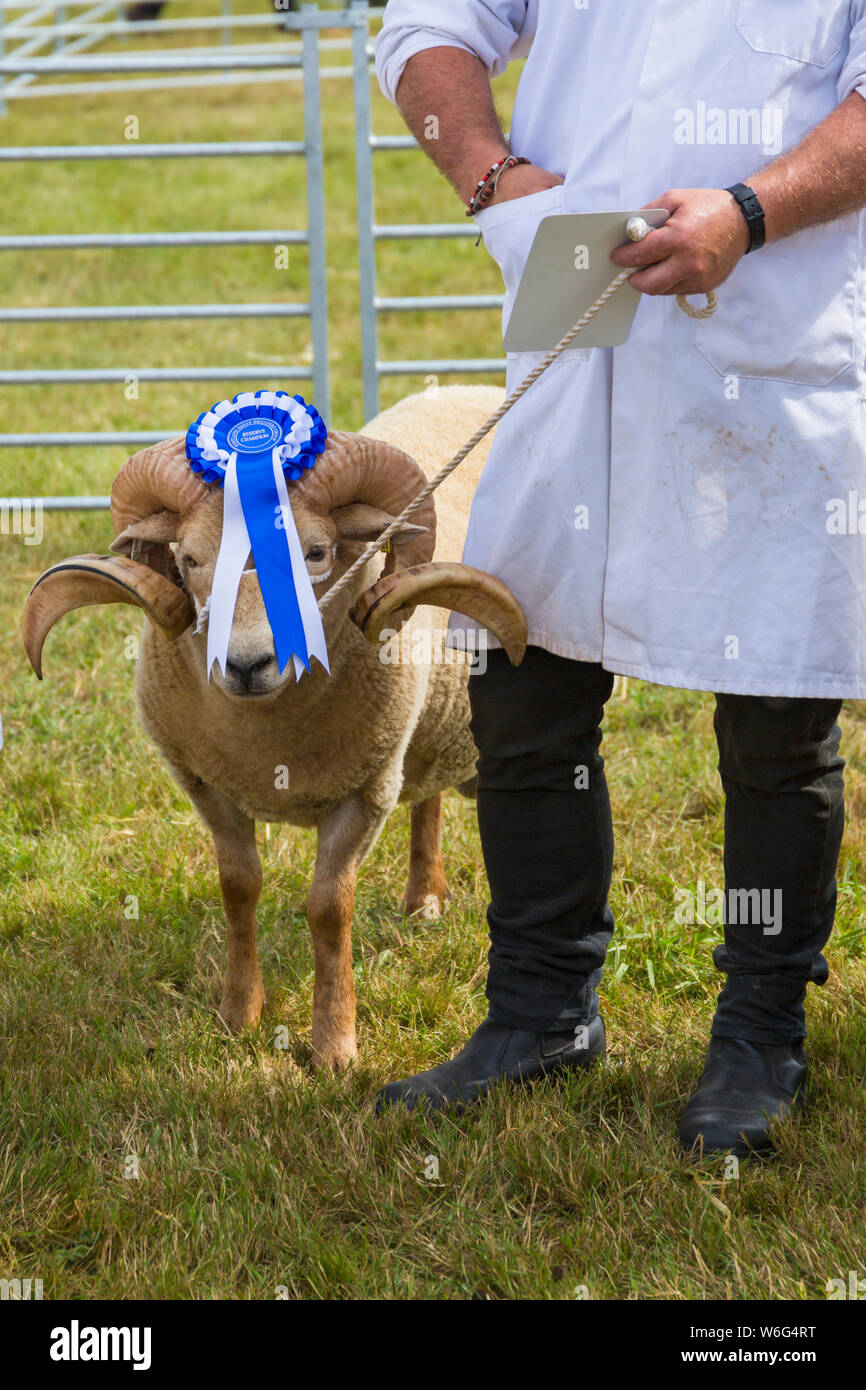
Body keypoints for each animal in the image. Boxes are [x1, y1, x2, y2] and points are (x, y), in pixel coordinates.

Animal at [22, 384, 524, 1070]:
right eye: (189, 559)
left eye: (316, 553)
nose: (245, 663)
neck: (269, 741)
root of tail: (473, 387)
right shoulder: (206, 786)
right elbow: (239, 889)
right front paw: (238, 1016)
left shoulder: (365, 793)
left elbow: (328, 909)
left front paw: (335, 1047)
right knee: (428, 796)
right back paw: (424, 897)